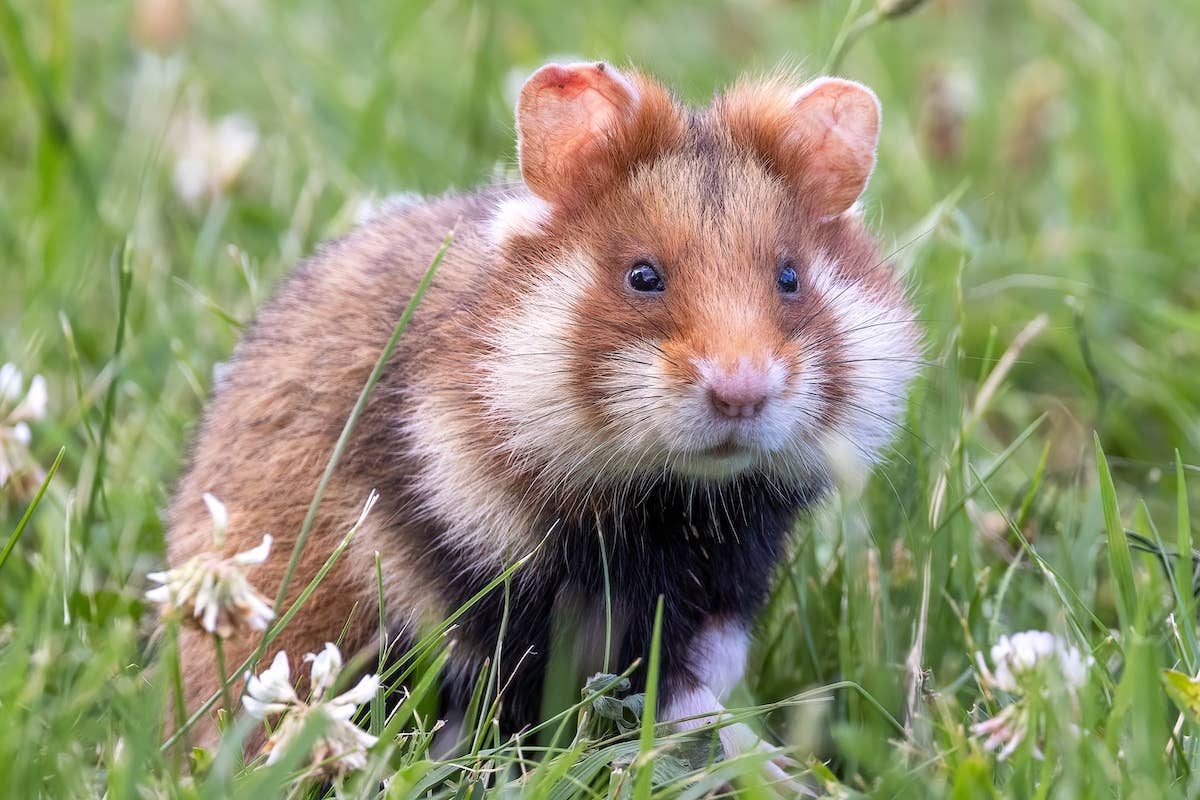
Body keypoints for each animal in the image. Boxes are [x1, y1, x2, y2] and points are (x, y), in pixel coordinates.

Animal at [165, 62, 919, 758]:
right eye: (642, 276)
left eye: (790, 277)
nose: (742, 392)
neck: (673, 503)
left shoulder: (726, 581)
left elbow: (692, 680)